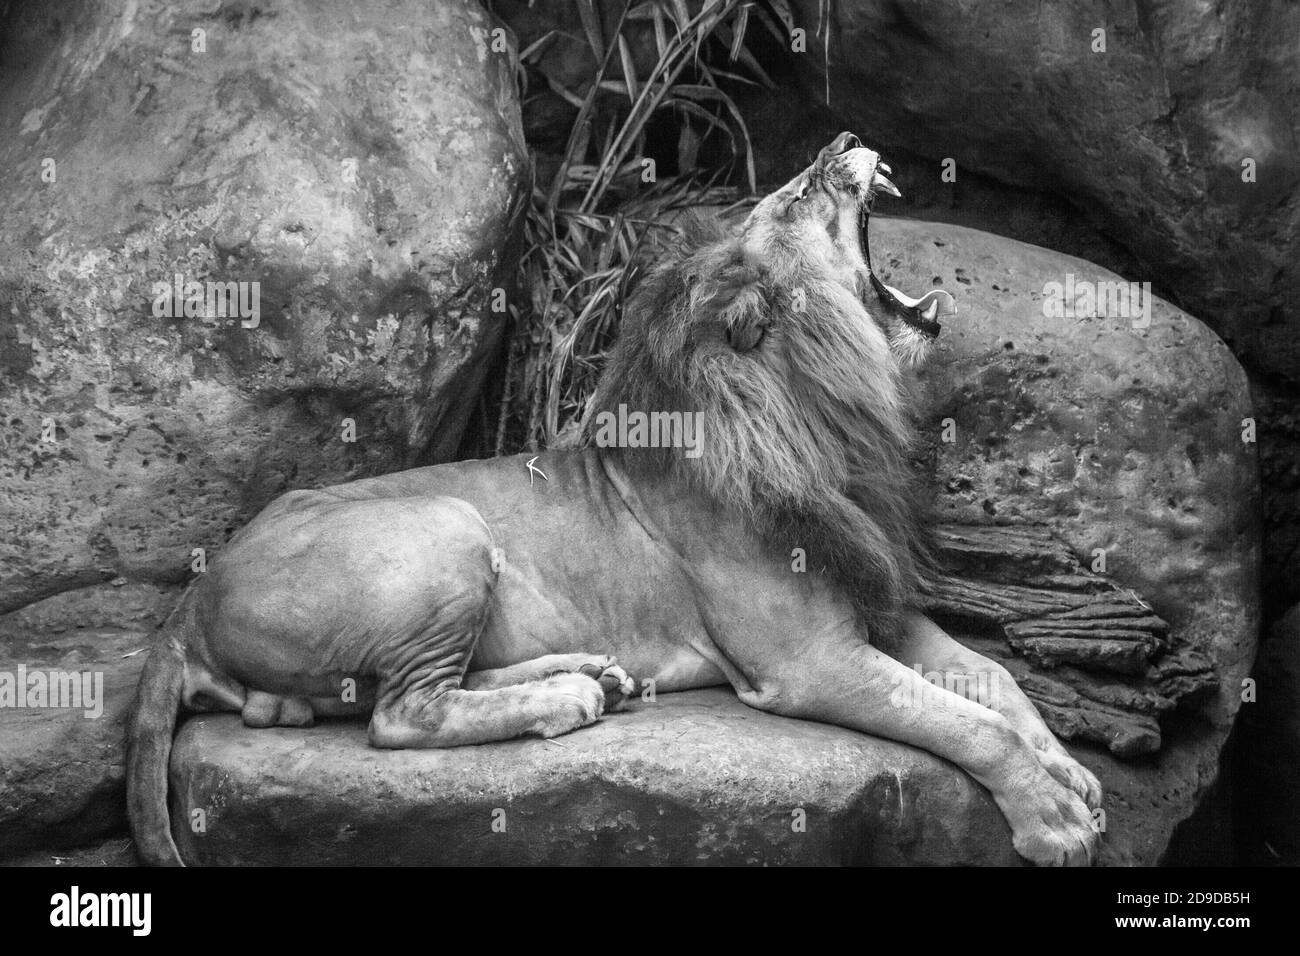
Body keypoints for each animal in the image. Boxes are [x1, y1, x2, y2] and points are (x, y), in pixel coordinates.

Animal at [126, 132, 1102, 868]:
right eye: (794, 199)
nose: (844, 140)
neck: (821, 415)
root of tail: (189, 600)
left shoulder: (874, 595)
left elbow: (996, 681)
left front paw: (1070, 775)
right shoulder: (808, 662)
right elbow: (967, 724)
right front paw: (1051, 817)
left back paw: (588, 675)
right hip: (447, 523)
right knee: (399, 716)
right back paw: (566, 701)